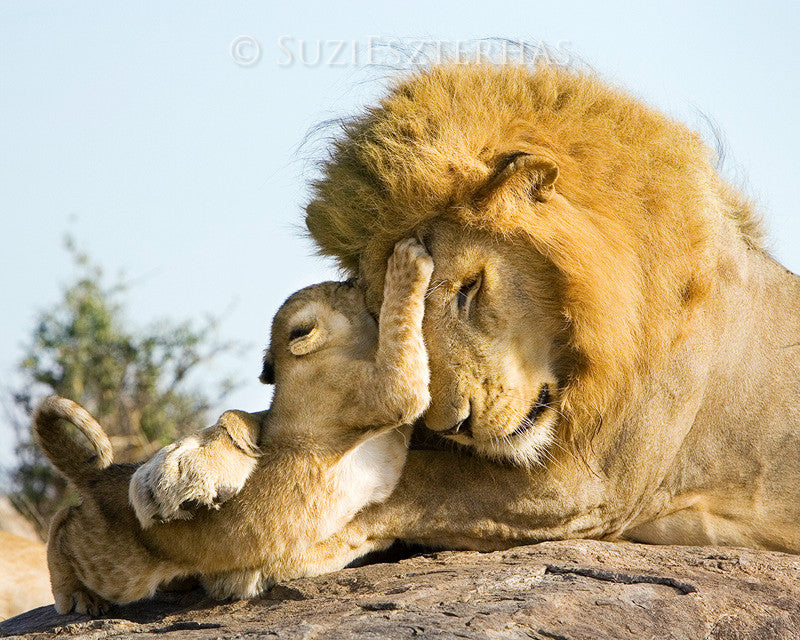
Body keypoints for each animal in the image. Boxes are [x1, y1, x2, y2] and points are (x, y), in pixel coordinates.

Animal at [37, 238, 431, 615]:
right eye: (343, 288)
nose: (354, 279)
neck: (303, 369)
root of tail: (101, 475)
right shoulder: (380, 392)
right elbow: (399, 335)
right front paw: (408, 264)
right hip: (115, 567)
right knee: (62, 525)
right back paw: (76, 595)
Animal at [136, 62, 800, 565]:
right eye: (387, 309)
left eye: (469, 288)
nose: (454, 424)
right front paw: (180, 467)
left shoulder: (589, 482)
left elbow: (412, 477)